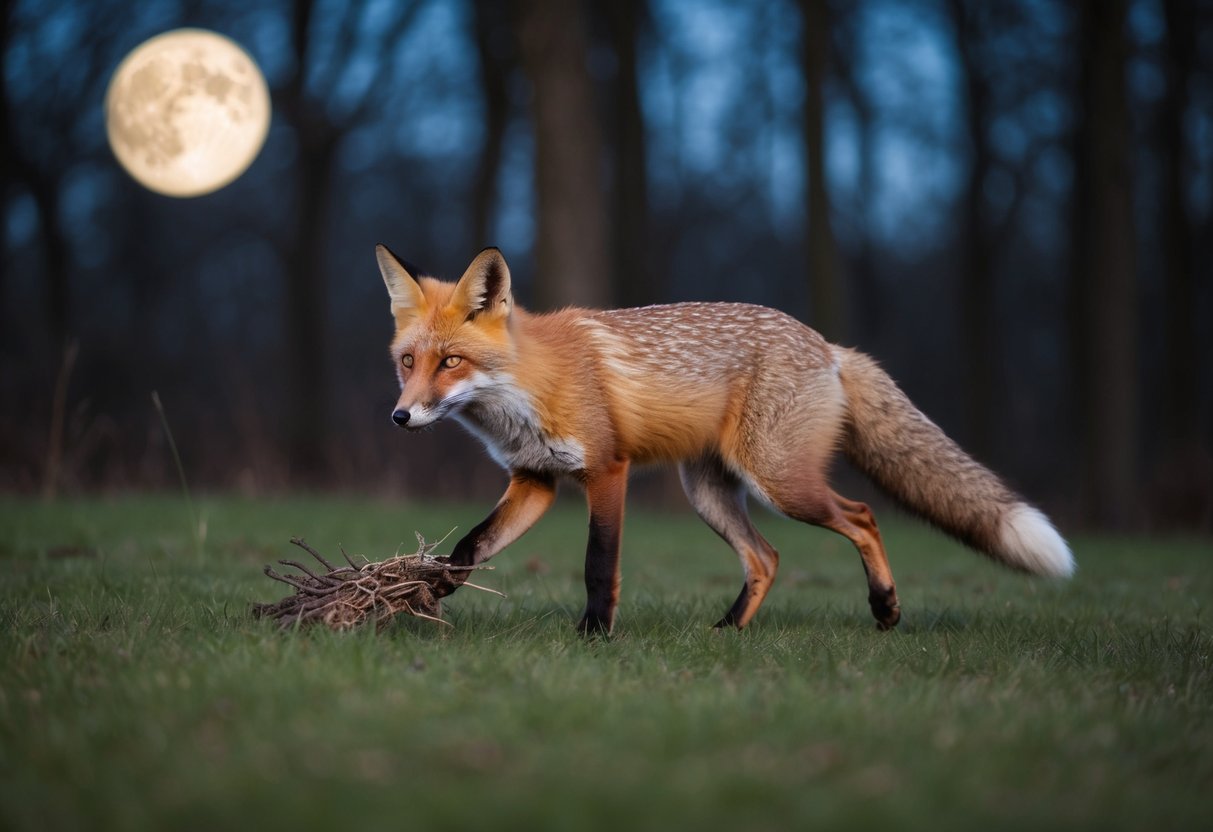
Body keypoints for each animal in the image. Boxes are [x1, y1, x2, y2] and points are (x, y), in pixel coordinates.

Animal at [376, 245, 1074, 635]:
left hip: (782, 483)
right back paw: (728, 630)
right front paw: (426, 589)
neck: (529, 386)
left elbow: (599, 565)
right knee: (766, 558)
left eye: (452, 362)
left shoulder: (607, 470)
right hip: (710, 493)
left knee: (863, 516)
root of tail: (828, 346)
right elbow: (472, 544)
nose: (400, 418)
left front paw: (593, 636)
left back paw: (885, 609)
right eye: (408, 362)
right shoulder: (536, 478)